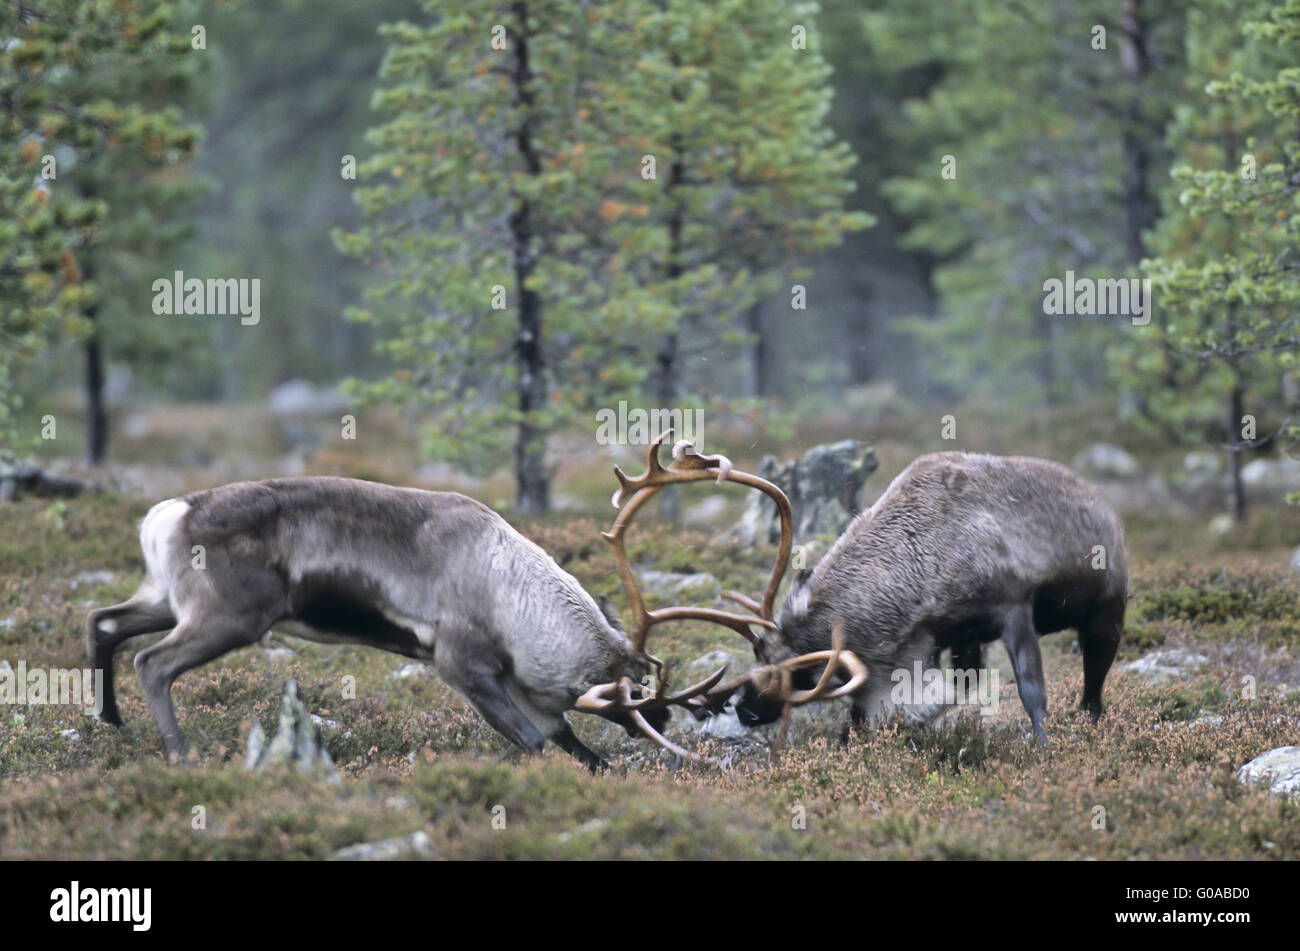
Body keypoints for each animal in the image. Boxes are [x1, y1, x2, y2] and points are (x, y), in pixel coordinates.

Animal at [85, 445, 864, 770]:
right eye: (636, 701)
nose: (669, 726)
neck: (512, 594)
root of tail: (166, 514)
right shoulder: (462, 664)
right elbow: (534, 740)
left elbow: (566, 741)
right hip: (230, 616)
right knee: (152, 662)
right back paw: (179, 754)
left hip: (168, 599)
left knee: (104, 621)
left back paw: (110, 722)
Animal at [726, 450, 1130, 744]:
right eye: (759, 657)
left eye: (803, 675)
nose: (744, 709)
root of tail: (1106, 507)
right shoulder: (951, 634)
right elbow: (950, 688)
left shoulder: (1013, 605)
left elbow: (1032, 692)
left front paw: (1044, 747)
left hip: (1107, 612)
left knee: (1094, 688)